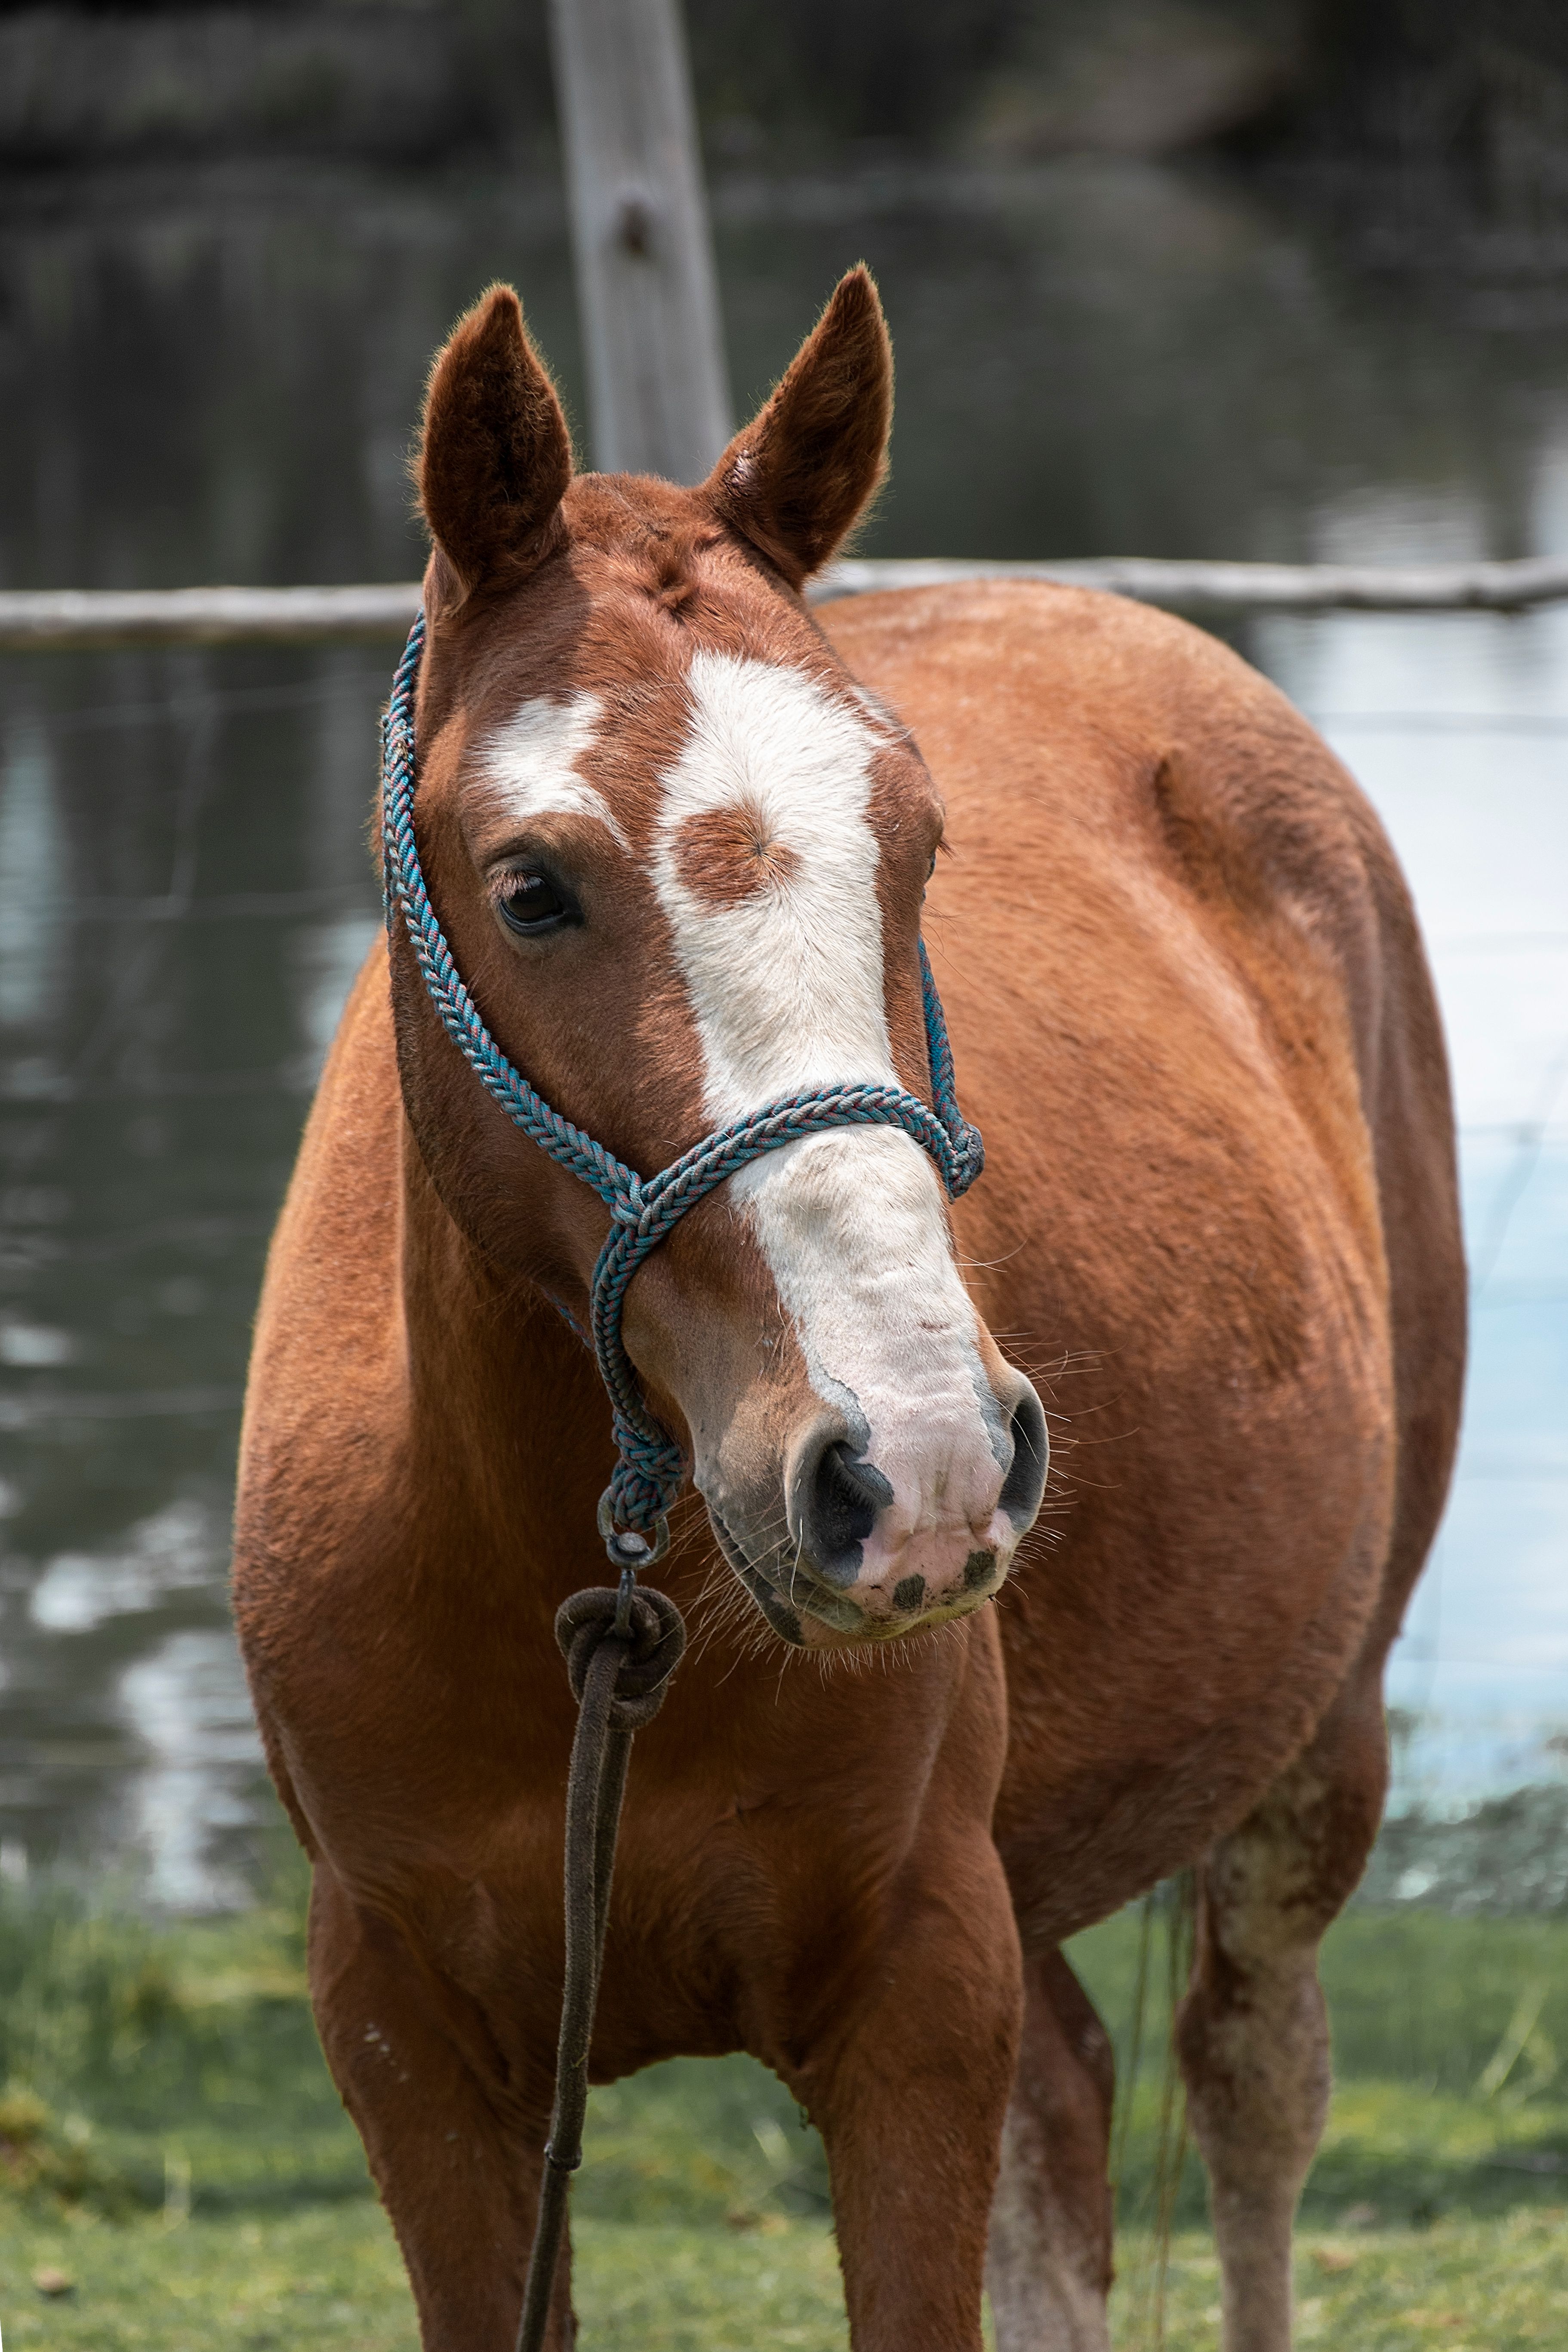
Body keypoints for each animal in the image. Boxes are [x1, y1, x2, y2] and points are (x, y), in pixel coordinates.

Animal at [232, 268, 1465, 2352]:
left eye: (922, 844)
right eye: (532, 885)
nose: (918, 1466)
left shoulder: (916, 2000)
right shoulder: (411, 2054)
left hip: (1312, 1754)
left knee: (1248, 2094)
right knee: (1077, 2119)